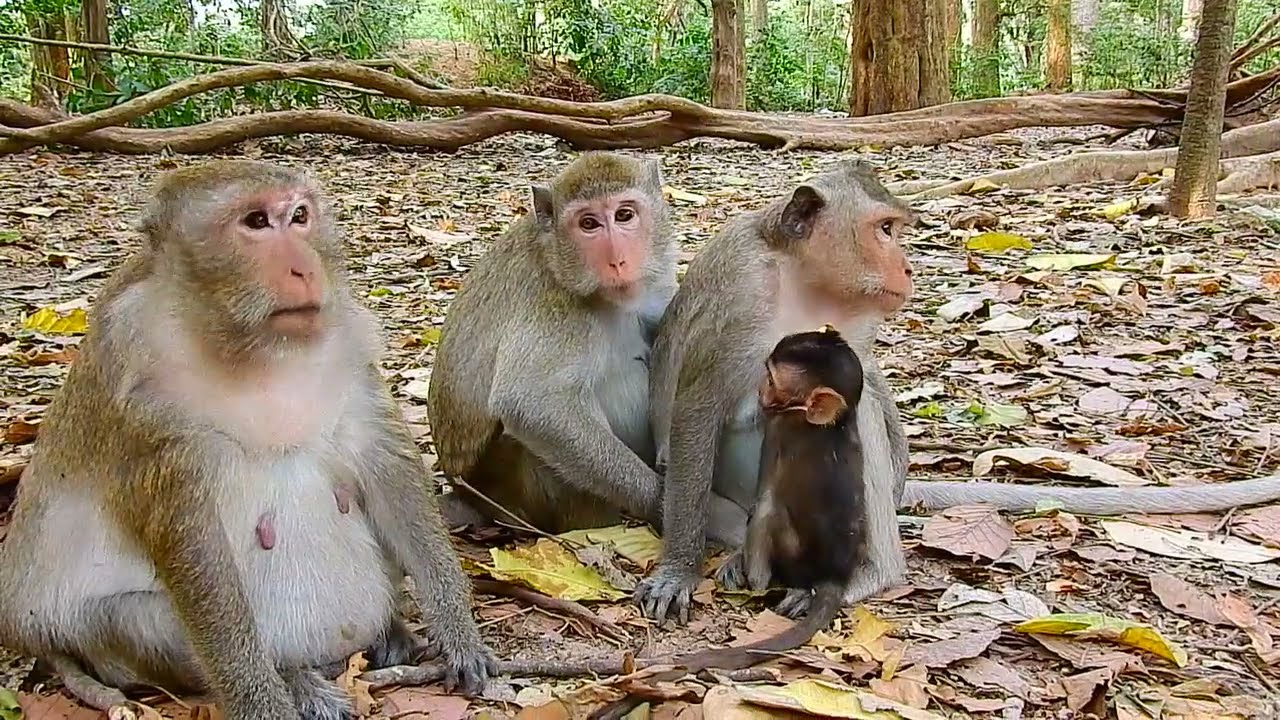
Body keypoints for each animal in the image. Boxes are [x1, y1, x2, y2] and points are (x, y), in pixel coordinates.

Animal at [0, 160, 496, 720]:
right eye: (256, 222)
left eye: (299, 216)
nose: (306, 269)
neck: (251, 347)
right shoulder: (144, 400)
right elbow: (195, 551)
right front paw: (264, 702)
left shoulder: (348, 348)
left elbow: (390, 474)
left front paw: (458, 631)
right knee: (140, 618)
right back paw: (299, 679)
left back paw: (389, 633)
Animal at [425, 152, 746, 543]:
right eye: (589, 223)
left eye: (624, 215)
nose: (617, 261)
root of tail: (466, 495)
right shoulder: (556, 308)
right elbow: (531, 405)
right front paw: (697, 512)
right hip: (517, 494)